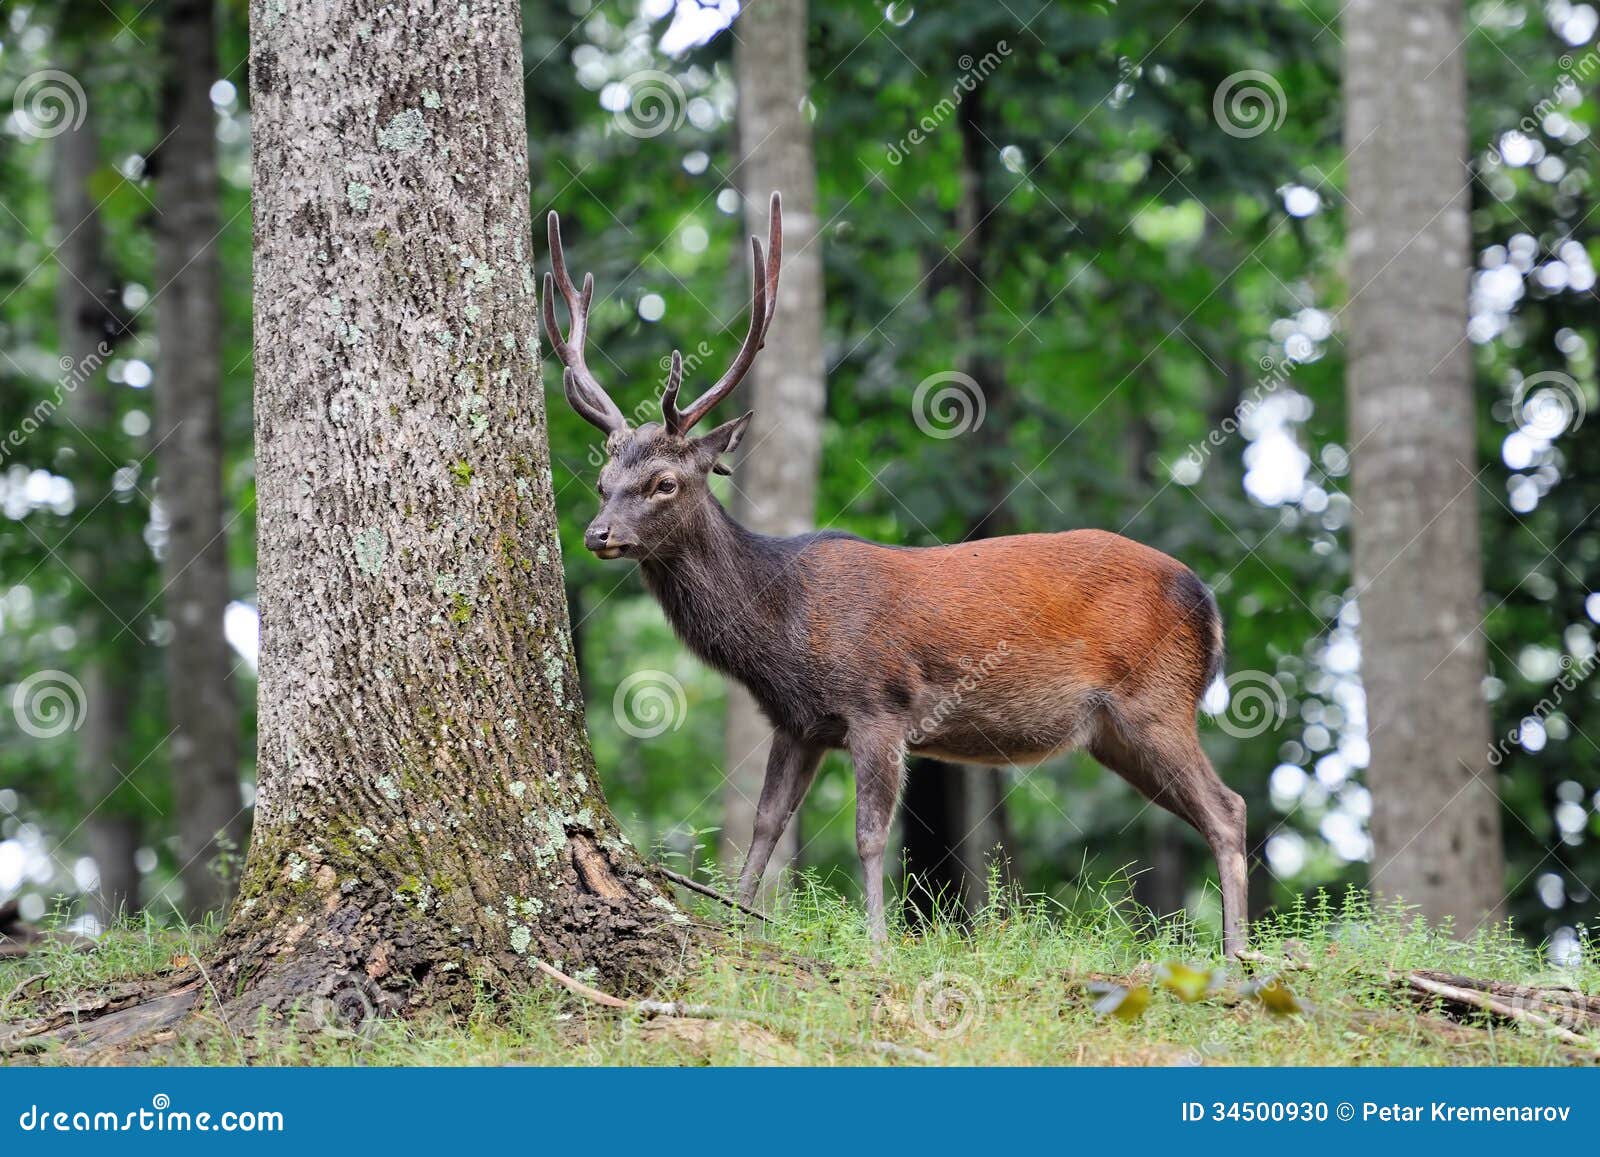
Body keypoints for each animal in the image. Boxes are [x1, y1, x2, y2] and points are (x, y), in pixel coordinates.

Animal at [542, 193, 1249, 957]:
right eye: (603, 482)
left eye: (665, 483)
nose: (599, 534)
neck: (780, 624)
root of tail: (1208, 601)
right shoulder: (799, 721)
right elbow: (765, 826)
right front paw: (736, 920)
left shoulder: (879, 705)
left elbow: (870, 835)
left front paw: (879, 943)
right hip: (1115, 731)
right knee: (1216, 807)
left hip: (1155, 697)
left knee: (1228, 807)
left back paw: (1240, 950)